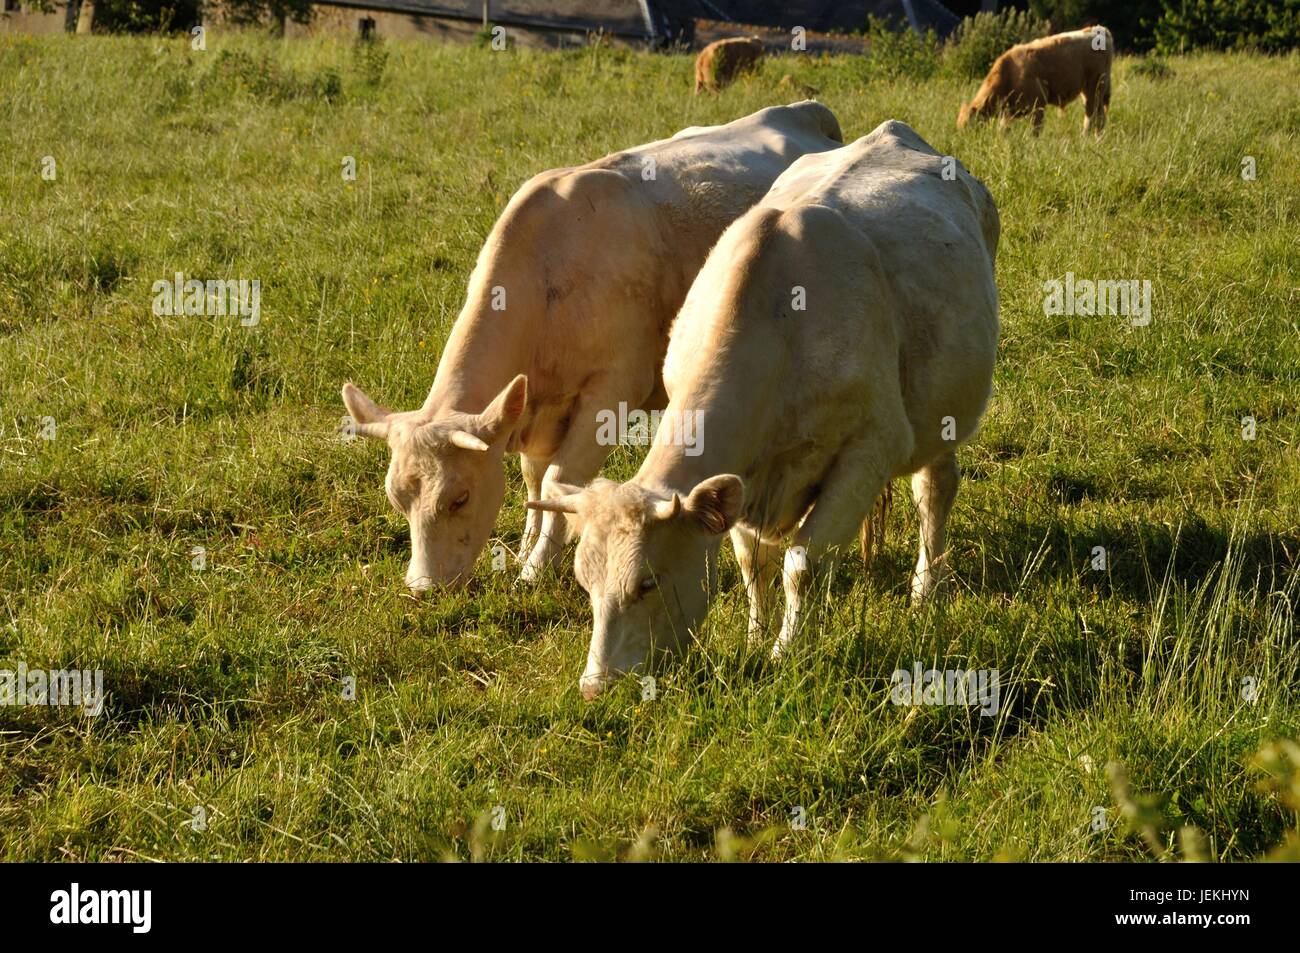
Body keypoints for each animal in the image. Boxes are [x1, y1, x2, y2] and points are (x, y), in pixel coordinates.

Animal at [340, 101, 843, 592]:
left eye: (459, 497)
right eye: (397, 498)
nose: (423, 588)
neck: (549, 275)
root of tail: (804, 109)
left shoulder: (610, 393)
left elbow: (559, 481)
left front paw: (535, 568)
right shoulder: (532, 409)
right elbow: (535, 482)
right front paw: (526, 551)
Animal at [529, 120, 1000, 699]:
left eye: (646, 582)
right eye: (584, 581)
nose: (596, 687)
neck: (782, 325)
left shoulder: (871, 448)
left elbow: (802, 563)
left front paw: (787, 650)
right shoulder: (741, 477)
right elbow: (754, 562)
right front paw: (757, 638)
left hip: (943, 414)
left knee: (934, 490)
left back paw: (924, 589)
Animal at [957, 26, 1113, 134]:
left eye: (970, 124)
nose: (964, 139)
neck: (1009, 73)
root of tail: (1098, 29)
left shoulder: (1038, 105)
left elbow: (1035, 131)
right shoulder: (1008, 113)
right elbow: (1003, 130)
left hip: (1095, 89)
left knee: (1094, 117)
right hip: (1088, 92)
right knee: (1099, 117)